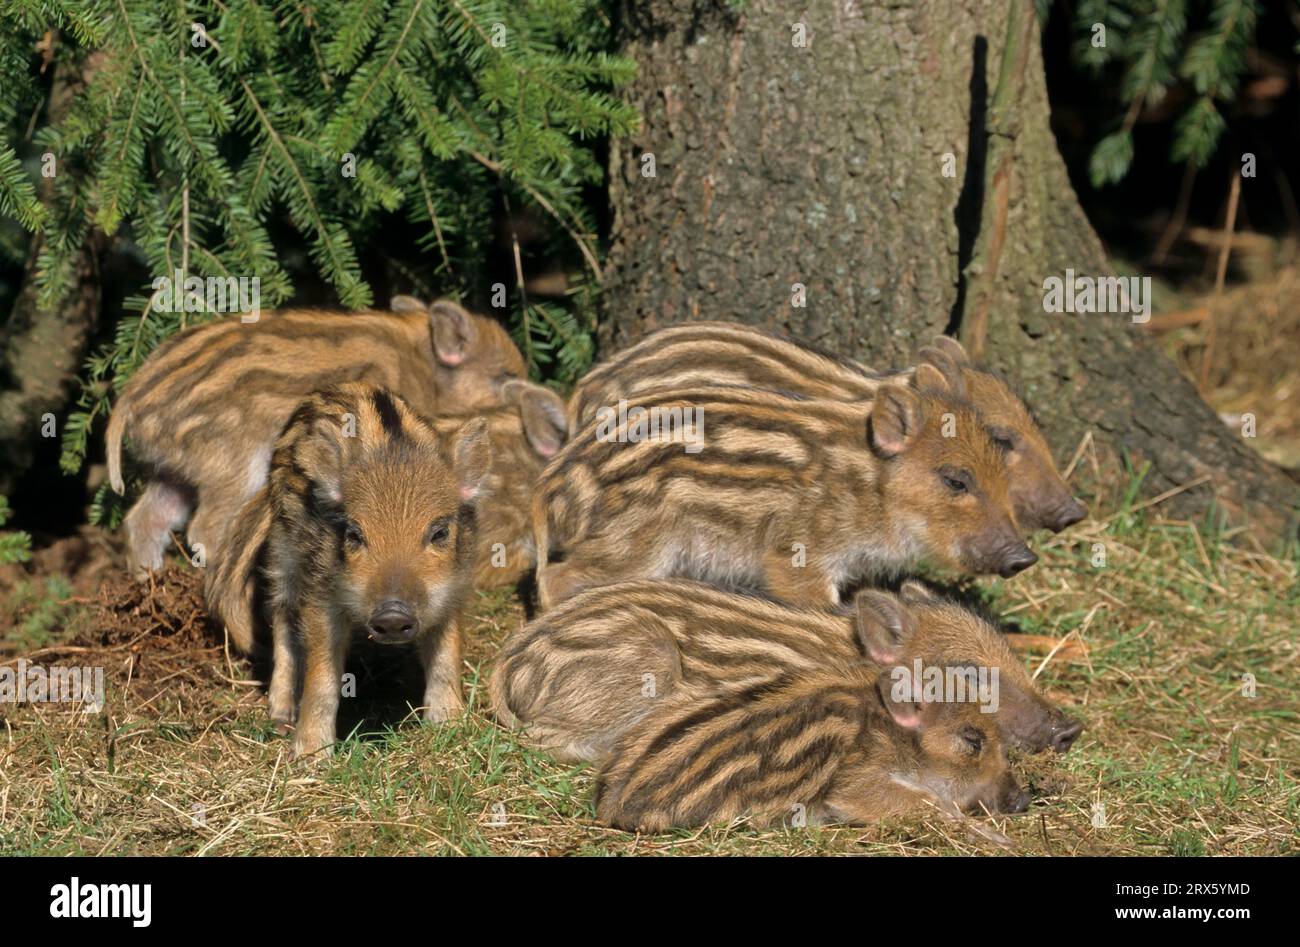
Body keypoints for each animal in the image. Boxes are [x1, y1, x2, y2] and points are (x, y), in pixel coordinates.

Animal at [106, 297, 524, 576]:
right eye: (504, 376)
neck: (426, 370)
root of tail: (132, 397)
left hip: (173, 469)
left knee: (145, 520)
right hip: (229, 464)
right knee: (203, 529)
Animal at [255, 382, 490, 758]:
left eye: (440, 532)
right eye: (354, 534)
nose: (392, 615)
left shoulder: (454, 584)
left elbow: (447, 654)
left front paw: (451, 727)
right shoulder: (319, 590)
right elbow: (322, 672)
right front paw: (309, 756)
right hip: (282, 550)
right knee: (281, 617)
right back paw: (280, 720)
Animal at [533, 372, 1036, 610]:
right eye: (956, 480)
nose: (1024, 557)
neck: (870, 487)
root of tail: (552, 485)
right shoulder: (798, 554)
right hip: (635, 546)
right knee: (558, 577)